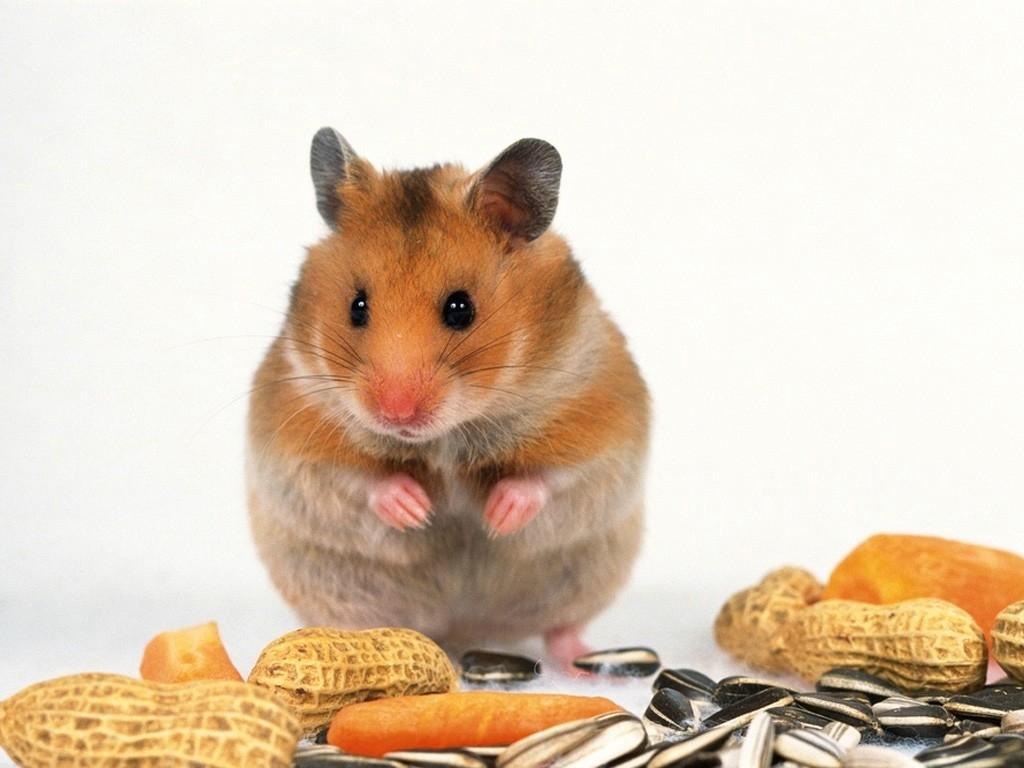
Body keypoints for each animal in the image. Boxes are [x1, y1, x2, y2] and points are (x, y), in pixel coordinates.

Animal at [246, 128, 650, 666]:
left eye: (461, 308)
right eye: (357, 306)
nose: (395, 413)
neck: (447, 437)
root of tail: (463, 631)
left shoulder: (601, 427)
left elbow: (550, 478)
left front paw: (496, 518)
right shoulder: (297, 439)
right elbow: (355, 479)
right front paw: (416, 510)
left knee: (560, 628)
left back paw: (585, 663)